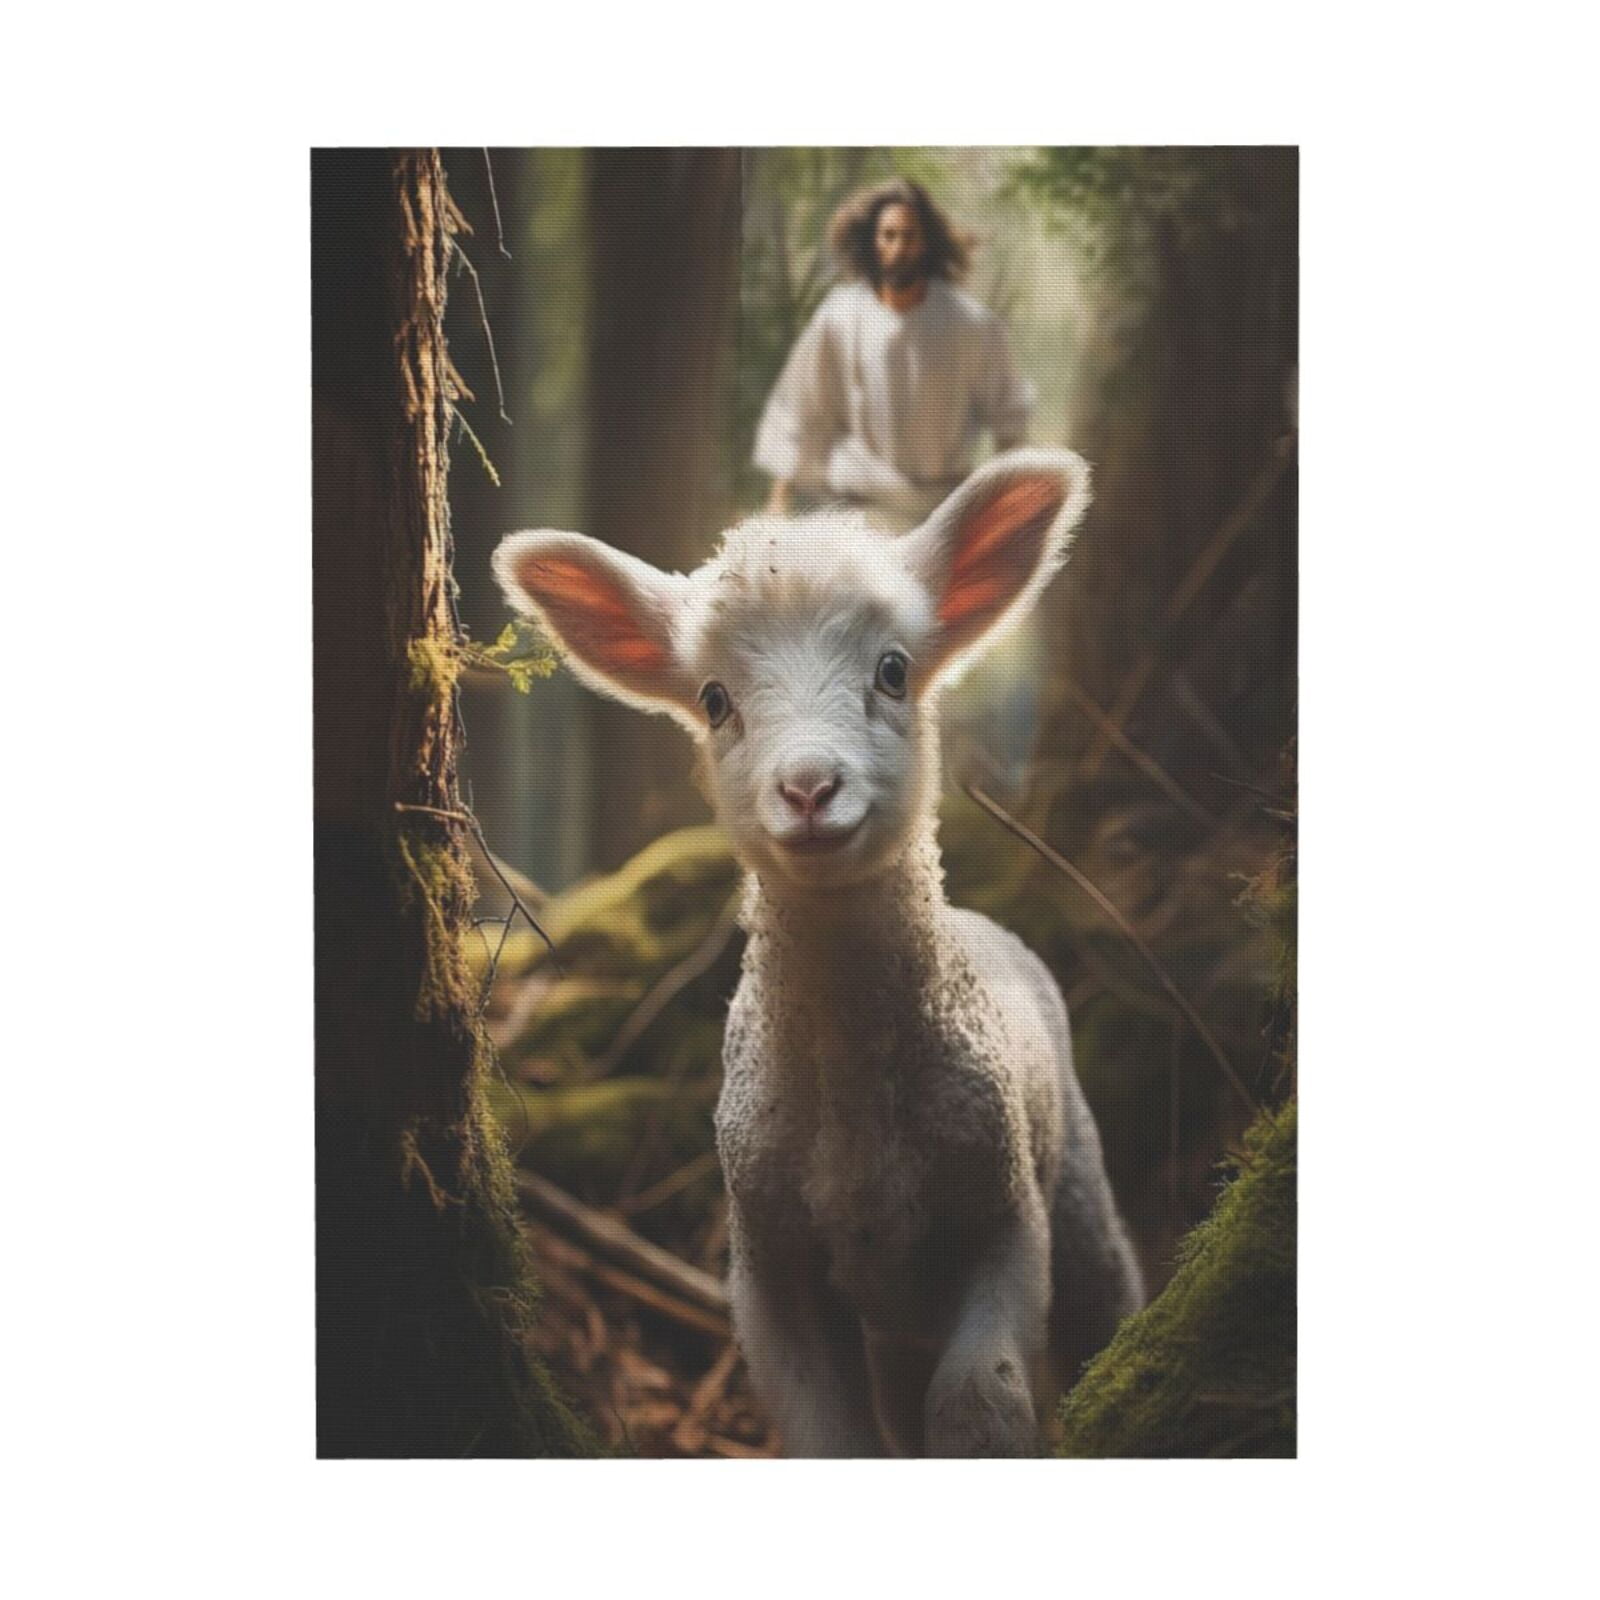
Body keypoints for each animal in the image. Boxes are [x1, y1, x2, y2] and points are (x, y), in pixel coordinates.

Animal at [494, 447, 1145, 1456]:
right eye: (715, 699)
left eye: (893, 670)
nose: (808, 788)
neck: (857, 1118)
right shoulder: (770, 1266)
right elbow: (830, 1435)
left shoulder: (1006, 1222)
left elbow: (981, 1402)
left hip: (1073, 1179)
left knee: (1110, 1294)